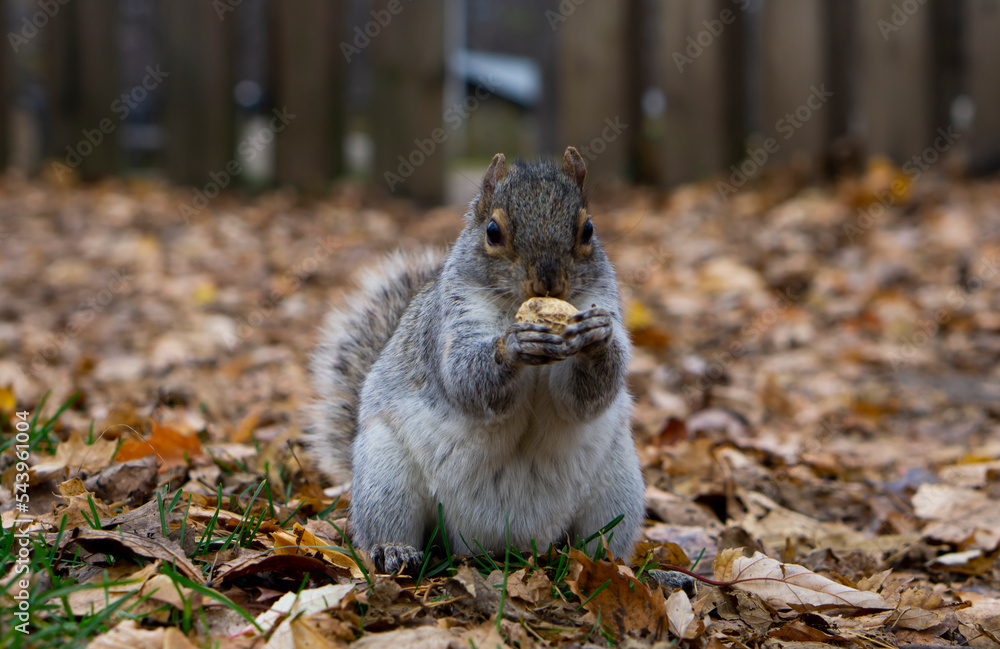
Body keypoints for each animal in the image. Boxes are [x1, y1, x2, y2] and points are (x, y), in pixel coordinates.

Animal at [306, 147, 645, 574]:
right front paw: (513, 344)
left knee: (600, 539)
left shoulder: (603, 301)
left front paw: (597, 337)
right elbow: (466, 380)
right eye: (493, 232)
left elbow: (582, 398)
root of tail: (502, 547)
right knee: (386, 524)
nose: (548, 283)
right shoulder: (452, 322)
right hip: (385, 477)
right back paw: (395, 550)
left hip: (617, 489)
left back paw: (615, 567)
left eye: (588, 230)